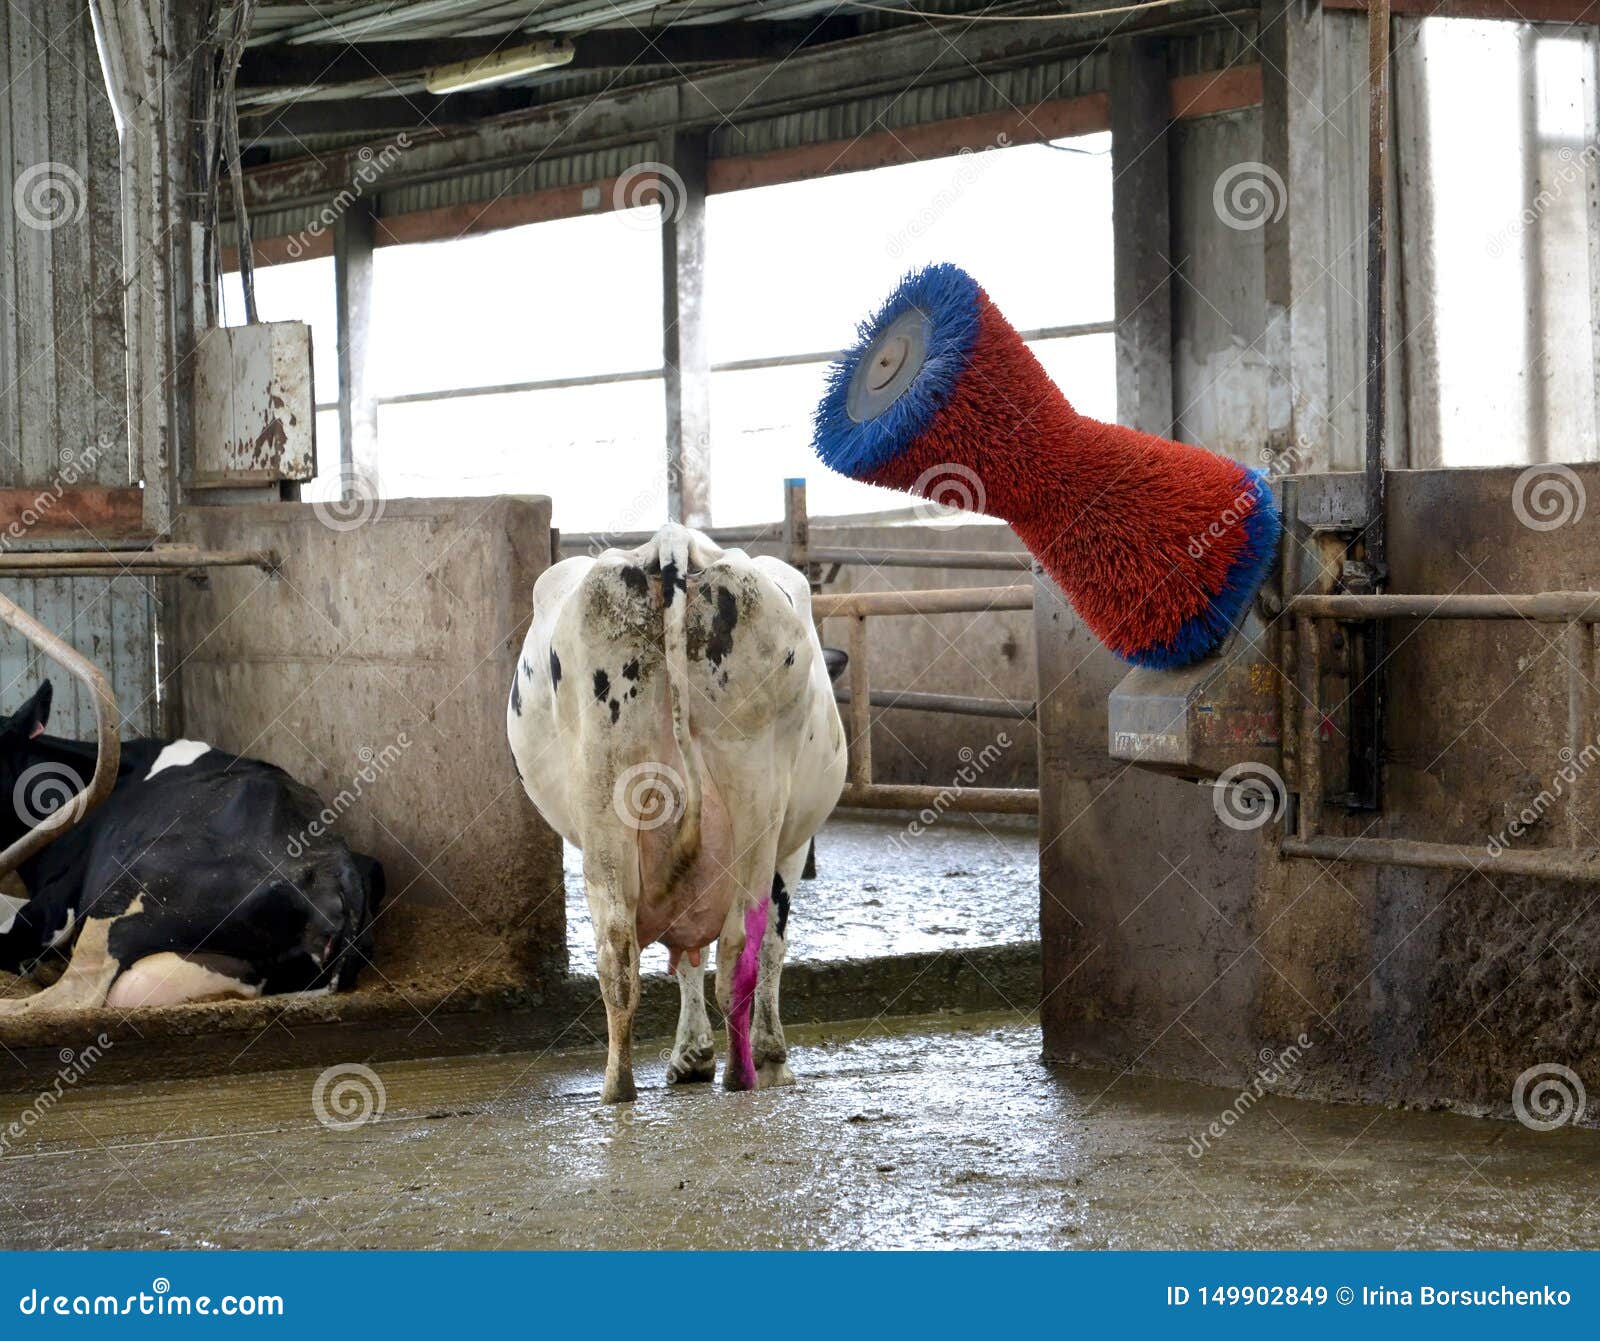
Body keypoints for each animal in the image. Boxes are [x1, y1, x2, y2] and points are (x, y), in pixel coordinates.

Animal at [508, 523, 846, 1103]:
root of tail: (673, 541)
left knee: (618, 955)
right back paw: (743, 1074)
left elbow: (688, 953)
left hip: (607, 799)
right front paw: (767, 1056)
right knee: (739, 952)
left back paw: (618, 1087)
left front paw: (690, 1054)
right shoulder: (793, 848)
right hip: (757, 804)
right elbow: (770, 949)